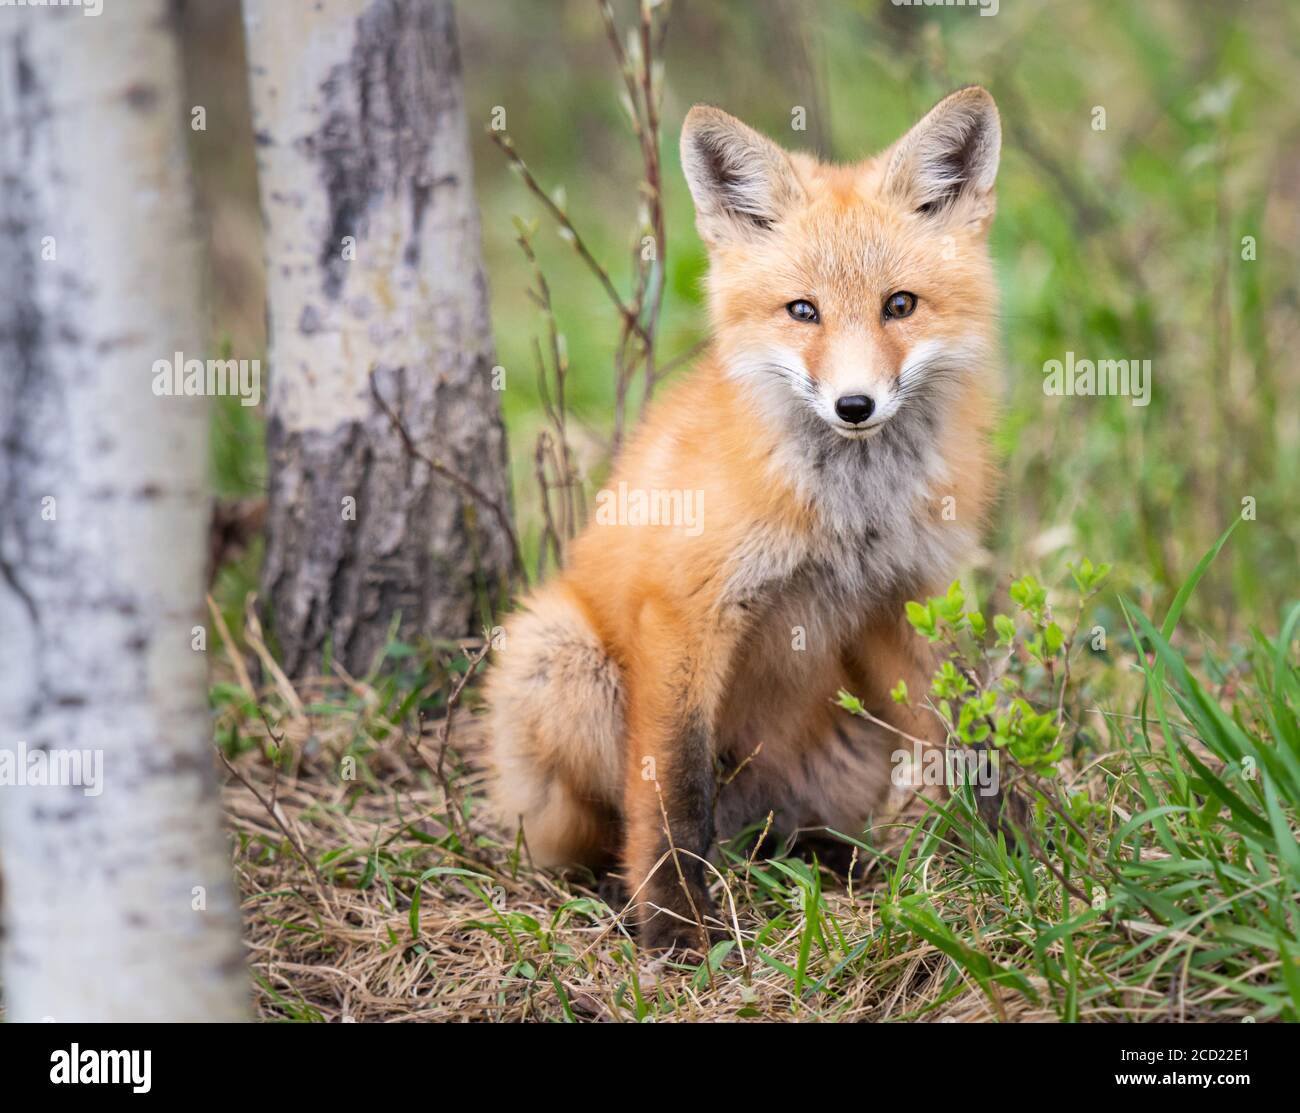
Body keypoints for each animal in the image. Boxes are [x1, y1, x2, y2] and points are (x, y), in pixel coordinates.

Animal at [485, 87, 1003, 952]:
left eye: (899, 305)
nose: (855, 405)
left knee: (795, 832)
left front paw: (1021, 853)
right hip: (557, 658)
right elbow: (671, 792)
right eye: (803, 311)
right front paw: (675, 931)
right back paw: (611, 888)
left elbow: (967, 739)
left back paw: (832, 858)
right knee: (593, 832)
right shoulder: (684, 613)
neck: (846, 511)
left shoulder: (899, 600)